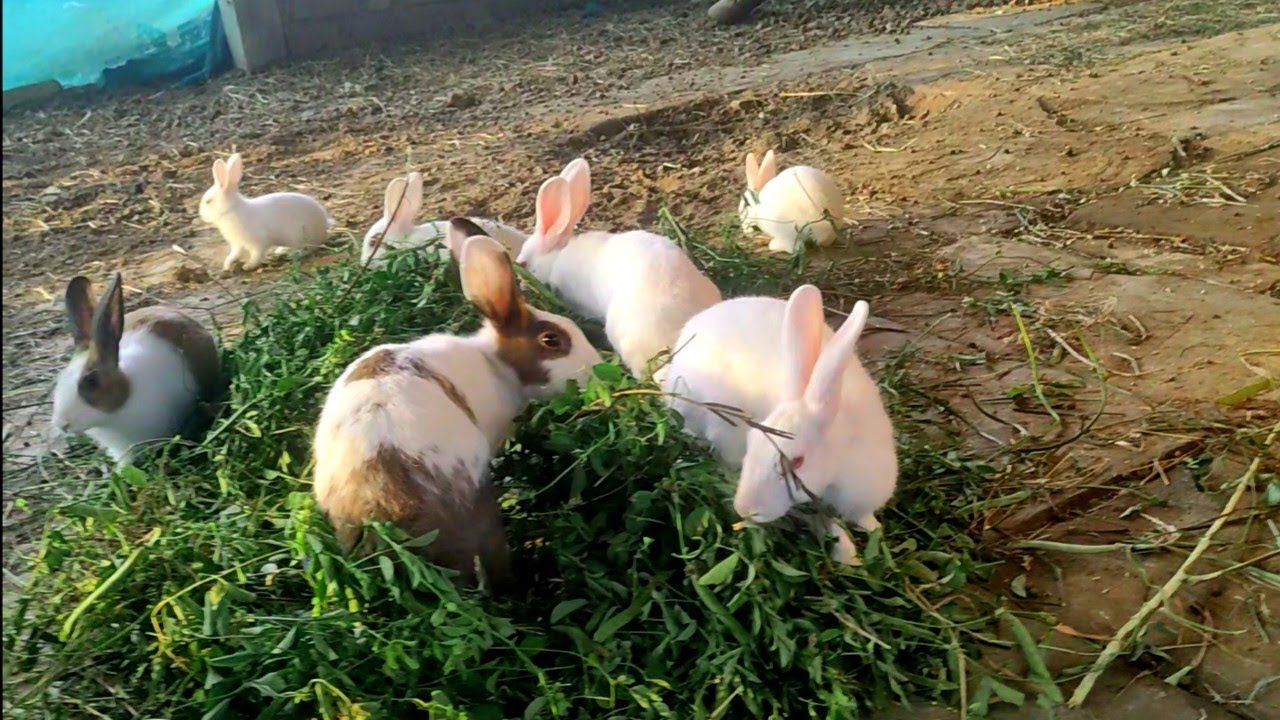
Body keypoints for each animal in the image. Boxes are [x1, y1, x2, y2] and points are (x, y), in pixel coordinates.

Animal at [199, 152, 334, 272]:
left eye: (208, 201)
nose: (201, 215)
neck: (232, 209)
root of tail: (324, 225)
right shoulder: (237, 244)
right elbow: (234, 255)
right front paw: (227, 266)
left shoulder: (257, 243)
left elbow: (256, 256)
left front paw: (248, 266)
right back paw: (281, 250)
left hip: (301, 237)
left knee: (310, 248)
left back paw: (294, 254)